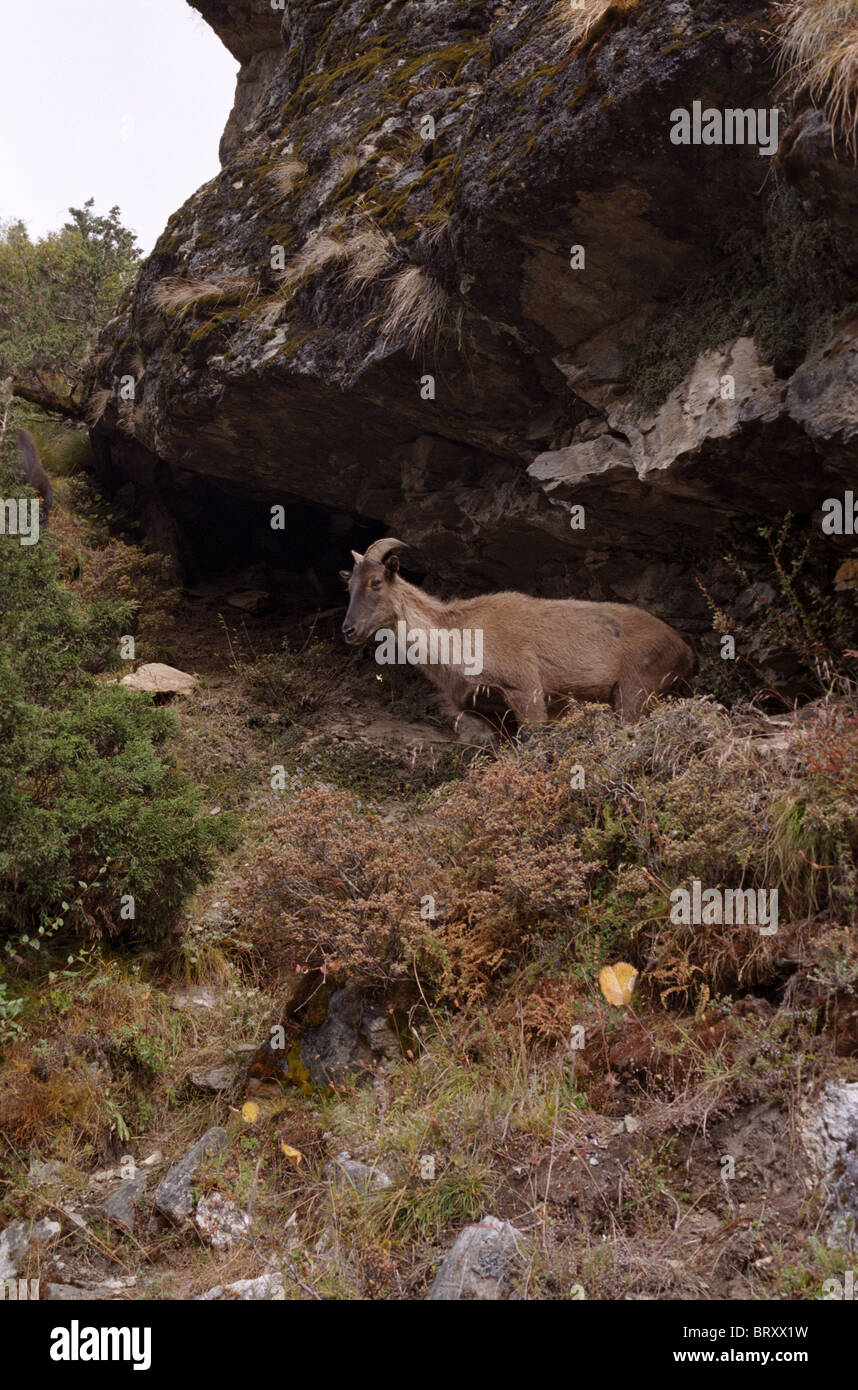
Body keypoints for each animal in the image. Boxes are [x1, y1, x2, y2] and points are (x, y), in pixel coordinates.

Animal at [342, 539, 695, 728]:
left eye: (376, 582)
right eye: (349, 585)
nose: (349, 629)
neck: (460, 639)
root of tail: (686, 651)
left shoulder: (527, 692)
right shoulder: (490, 715)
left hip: (635, 690)